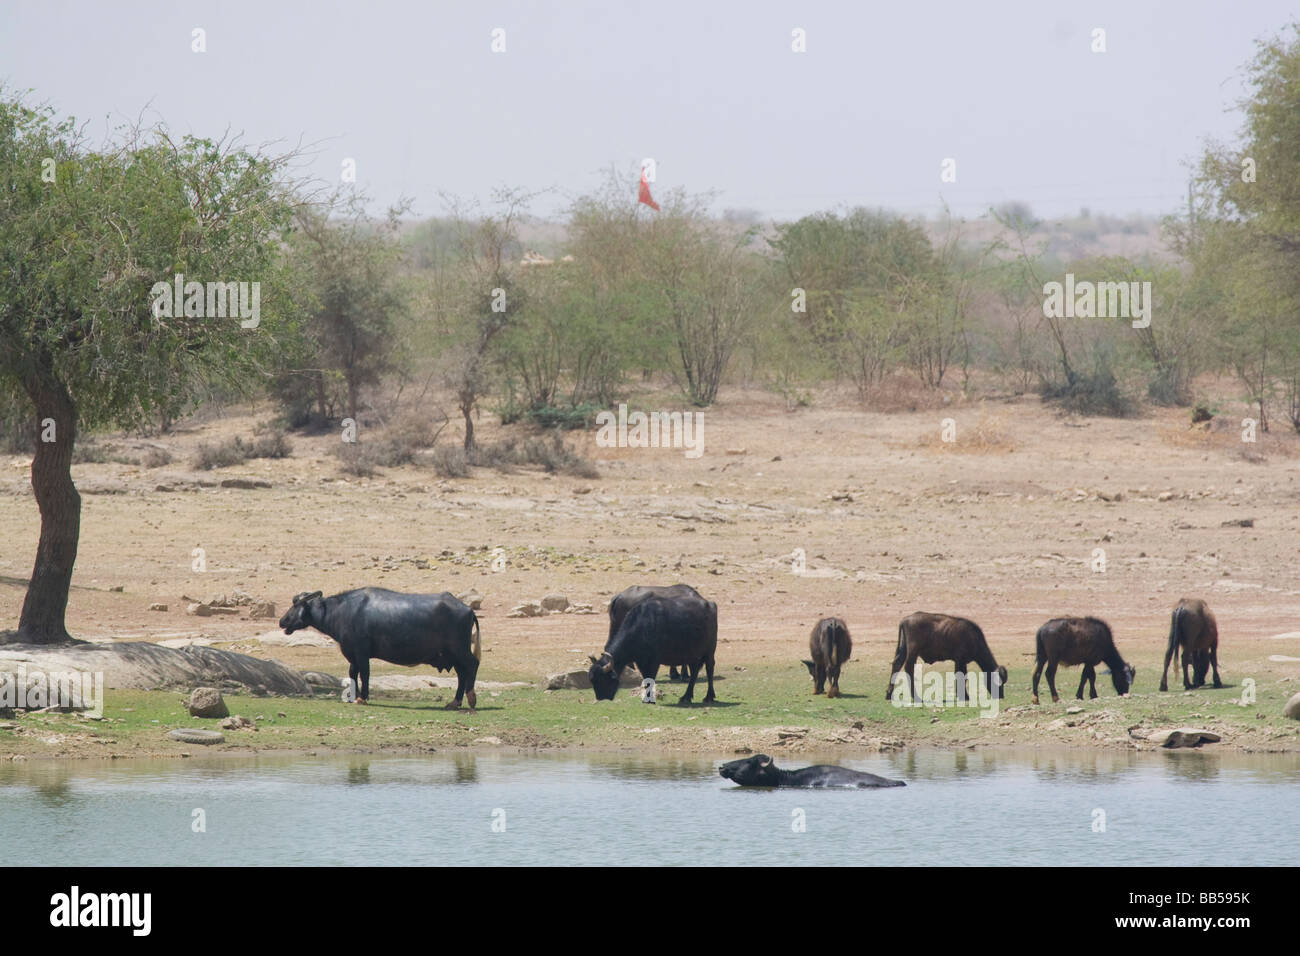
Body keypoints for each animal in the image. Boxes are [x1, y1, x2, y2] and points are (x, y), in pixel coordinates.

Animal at [279, 588, 481, 708]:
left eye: (296, 604)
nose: (282, 621)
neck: (343, 611)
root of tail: (468, 610)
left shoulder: (361, 652)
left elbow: (364, 673)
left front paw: (363, 697)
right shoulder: (352, 653)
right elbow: (353, 673)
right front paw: (354, 696)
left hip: (459, 650)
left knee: (472, 665)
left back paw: (471, 700)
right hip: (452, 655)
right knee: (462, 673)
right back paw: (455, 702)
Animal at [588, 592, 717, 704]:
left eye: (603, 680)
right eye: (593, 680)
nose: (601, 697)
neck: (643, 627)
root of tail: (710, 604)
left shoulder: (654, 661)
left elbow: (651, 678)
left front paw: (649, 699)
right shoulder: (641, 661)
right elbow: (646, 678)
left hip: (709, 651)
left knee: (709, 669)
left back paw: (709, 696)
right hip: (693, 655)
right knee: (694, 672)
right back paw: (686, 697)